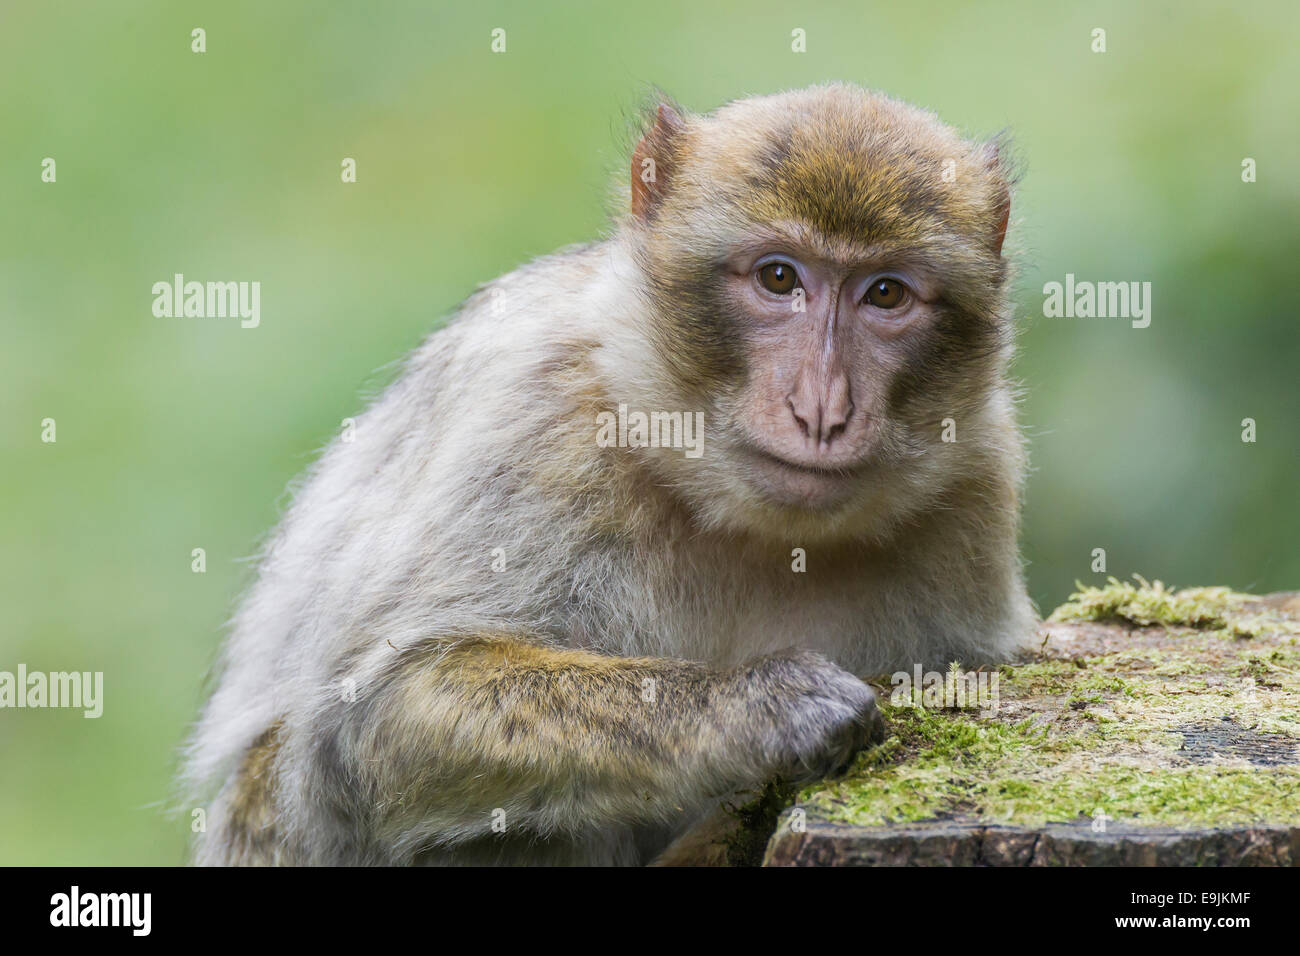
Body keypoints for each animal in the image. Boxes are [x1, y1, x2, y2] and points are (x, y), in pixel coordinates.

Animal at [183, 83, 1037, 866]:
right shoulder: (538, 419)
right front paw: (762, 708)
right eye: (778, 278)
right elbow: (367, 722)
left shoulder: (977, 484)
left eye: (885, 293)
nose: (821, 409)